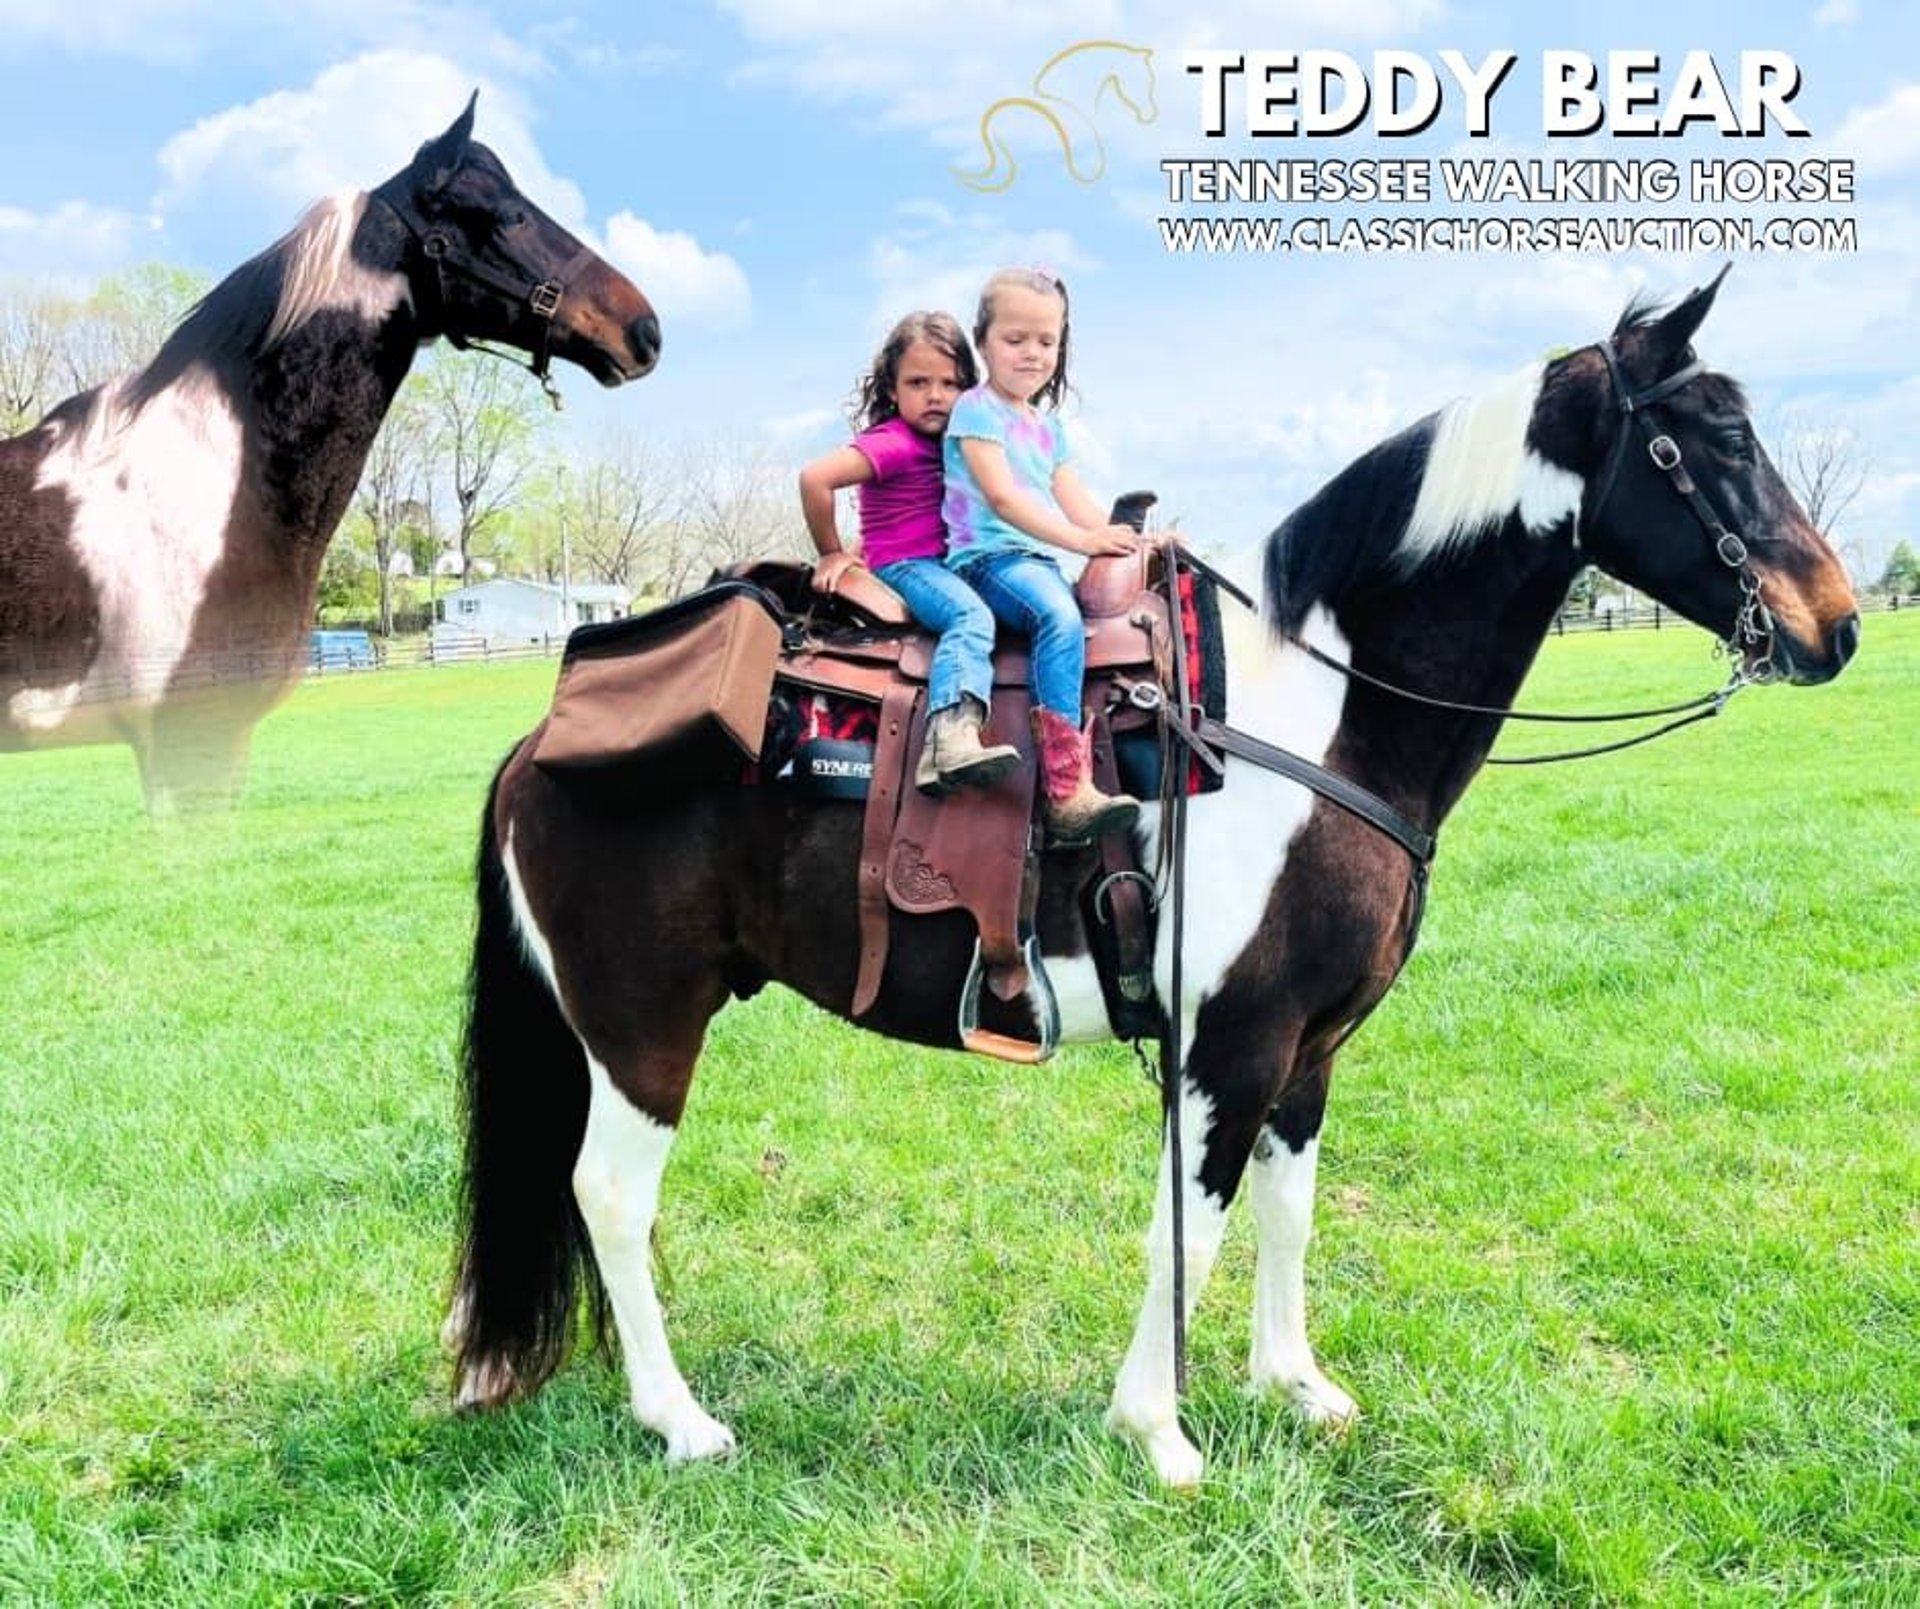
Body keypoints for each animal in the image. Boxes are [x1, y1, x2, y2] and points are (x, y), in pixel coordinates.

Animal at [445, 271, 1858, 1486]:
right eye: (1716, 439)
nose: (1836, 624)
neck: (1319, 718)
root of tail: (535, 744)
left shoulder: (1310, 1049)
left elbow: (1288, 1213)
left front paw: (1294, 1385)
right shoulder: (1231, 1041)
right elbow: (1193, 1225)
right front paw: (1159, 1431)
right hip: (643, 1024)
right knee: (611, 1197)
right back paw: (679, 1420)